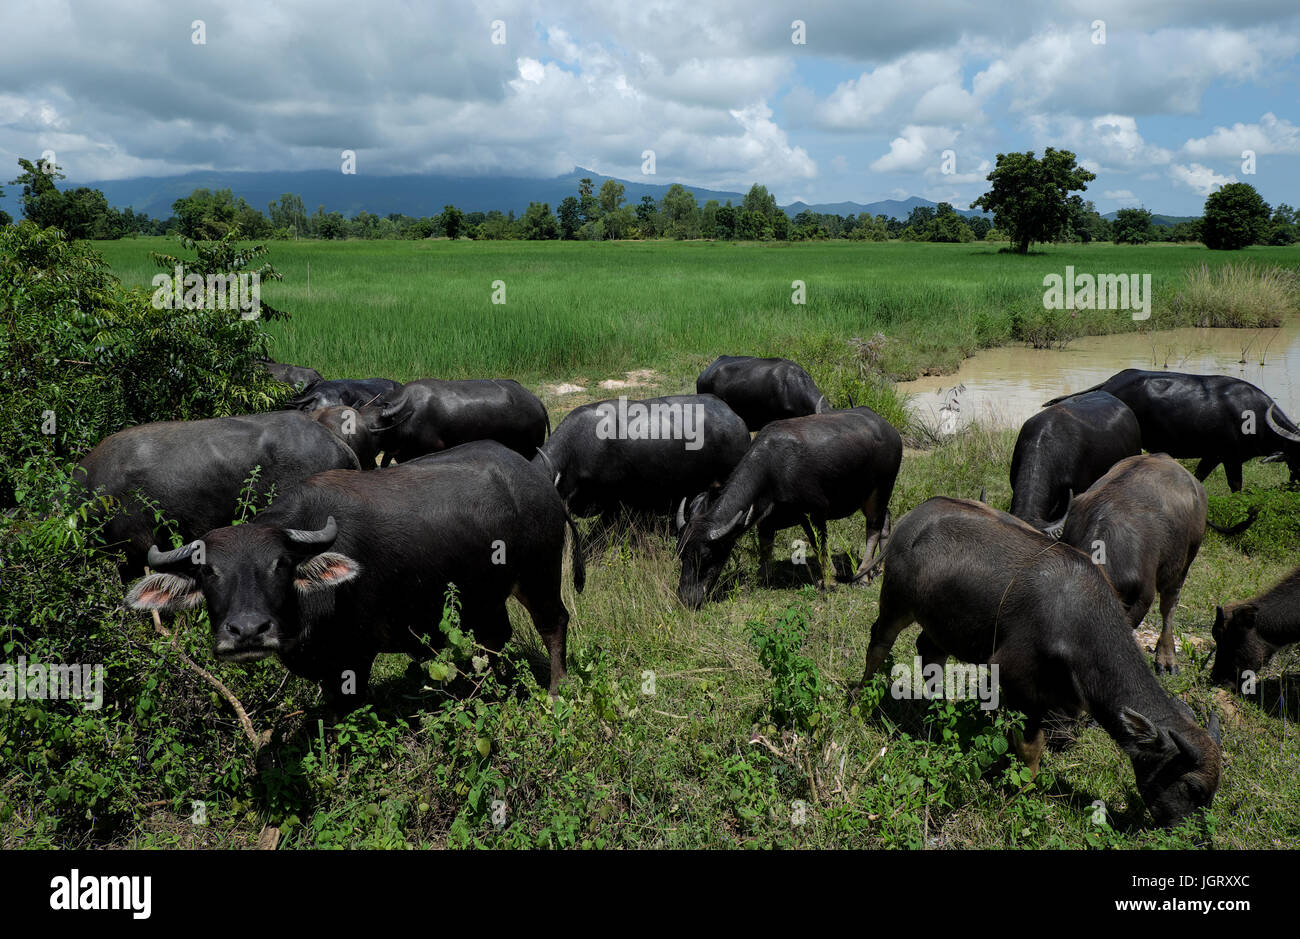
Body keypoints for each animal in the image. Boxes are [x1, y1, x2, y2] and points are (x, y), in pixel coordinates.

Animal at [124, 441, 583, 706]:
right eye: (208, 573)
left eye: (280, 565)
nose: (248, 631)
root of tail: (540, 481)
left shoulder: (357, 657)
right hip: (486, 595)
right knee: (495, 636)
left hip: (540, 575)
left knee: (553, 623)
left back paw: (556, 691)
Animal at [677, 406, 901, 607]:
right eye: (681, 554)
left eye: (705, 556)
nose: (686, 598)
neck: (772, 469)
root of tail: (891, 431)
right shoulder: (766, 521)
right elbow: (765, 549)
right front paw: (762, 578)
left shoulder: (816, 512)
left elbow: (820, 546)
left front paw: (829, 580)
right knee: (886, 521)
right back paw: (880, 568)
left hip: (882, 488)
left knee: (873, 528)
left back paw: (863, 576)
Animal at [851, 497, 1221, 827]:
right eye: (1193, 787)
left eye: (1210, 794)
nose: (1187, 830)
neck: (1080, 624)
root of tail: (912, 519)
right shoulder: (1019, 681)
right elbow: (1032, 747)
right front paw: (1021, 792)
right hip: (896, 601)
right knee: (879, 642)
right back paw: (861, 698)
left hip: (941, 623)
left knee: (930, 652)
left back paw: (937, 709)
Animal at [1044, 369, 1300, 491]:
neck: (1253, 415)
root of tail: (1111, 383)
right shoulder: (1228, 457)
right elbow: (1236, 486)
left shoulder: (1213, 456)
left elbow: (1199, 477)